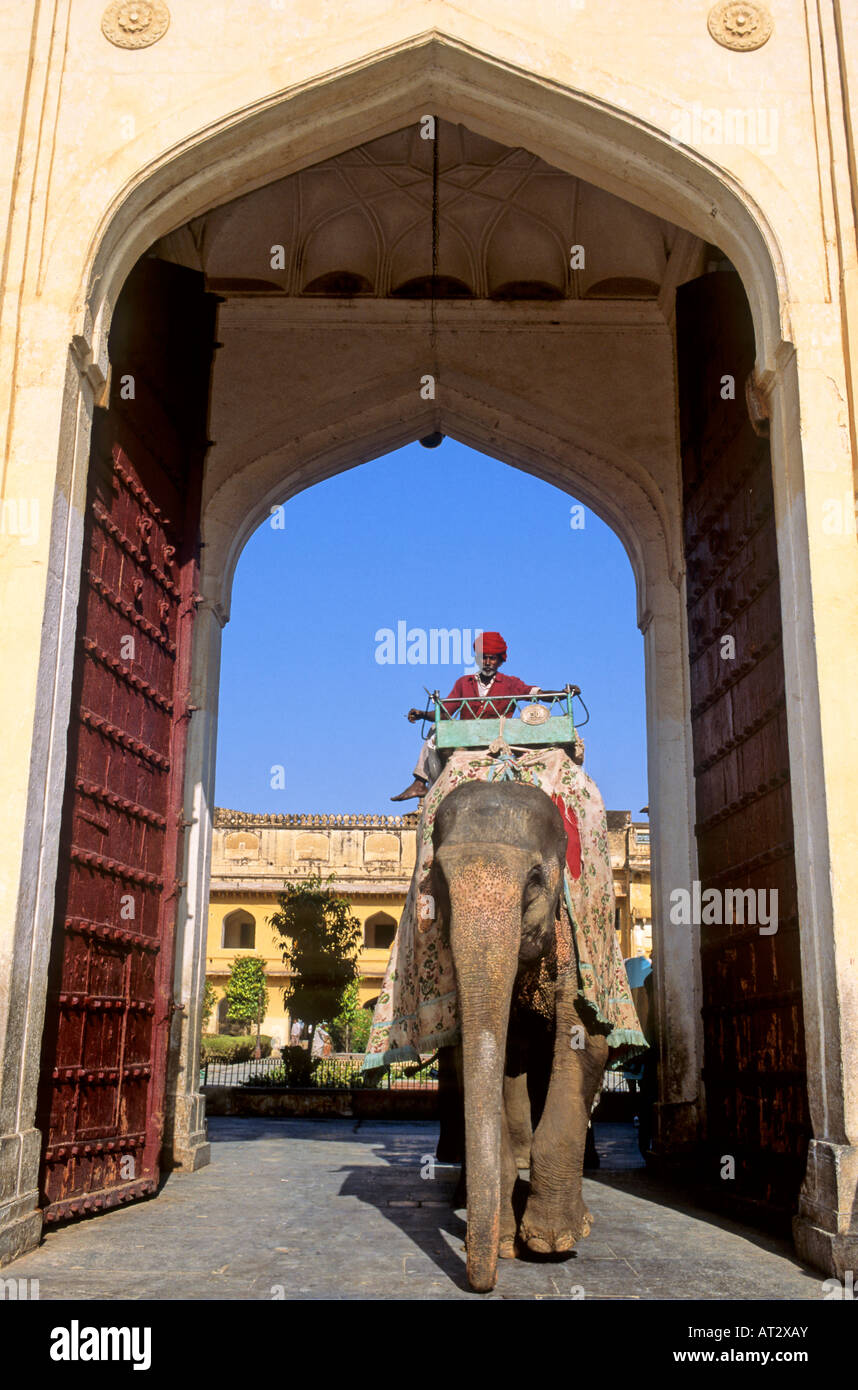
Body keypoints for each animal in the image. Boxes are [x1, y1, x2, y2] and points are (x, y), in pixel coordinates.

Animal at [430, 777, 609, 1293]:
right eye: (438, 880)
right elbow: (472, 1058)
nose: (483, 1283)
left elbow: (587, 1045)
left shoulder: (576, 948)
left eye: (533, 878)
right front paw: (506, 1243)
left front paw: (553, 1242)